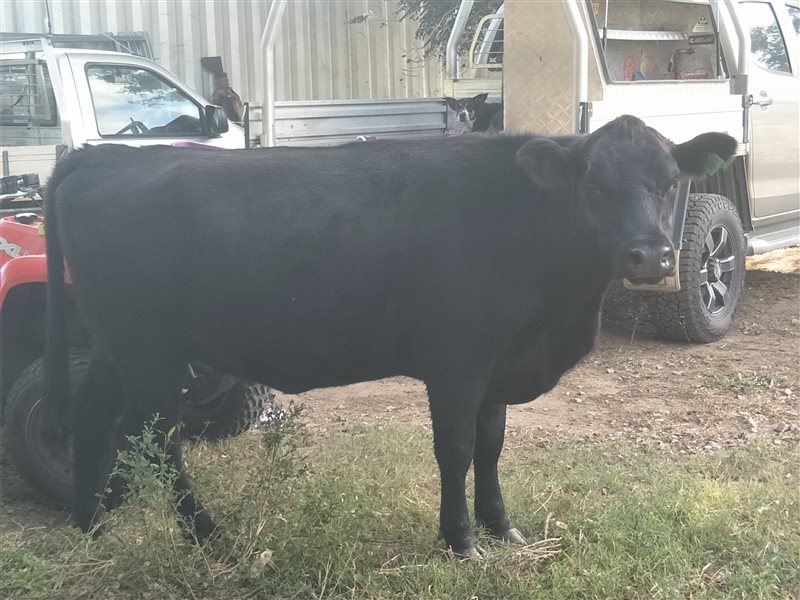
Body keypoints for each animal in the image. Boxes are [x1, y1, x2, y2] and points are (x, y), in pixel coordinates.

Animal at [44, 115, 737, 558]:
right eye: (593, 185)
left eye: (669, 182)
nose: (651, 256)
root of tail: (102, 155)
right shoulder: (456, 362)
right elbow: (455, 451)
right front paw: (461, 543)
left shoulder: (497, 366)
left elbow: (491, 449)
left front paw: (502, 530)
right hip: (147, 349)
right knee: (157, 437)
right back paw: (206, 538)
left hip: (117, 345)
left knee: (94, 411)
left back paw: (91, 521)